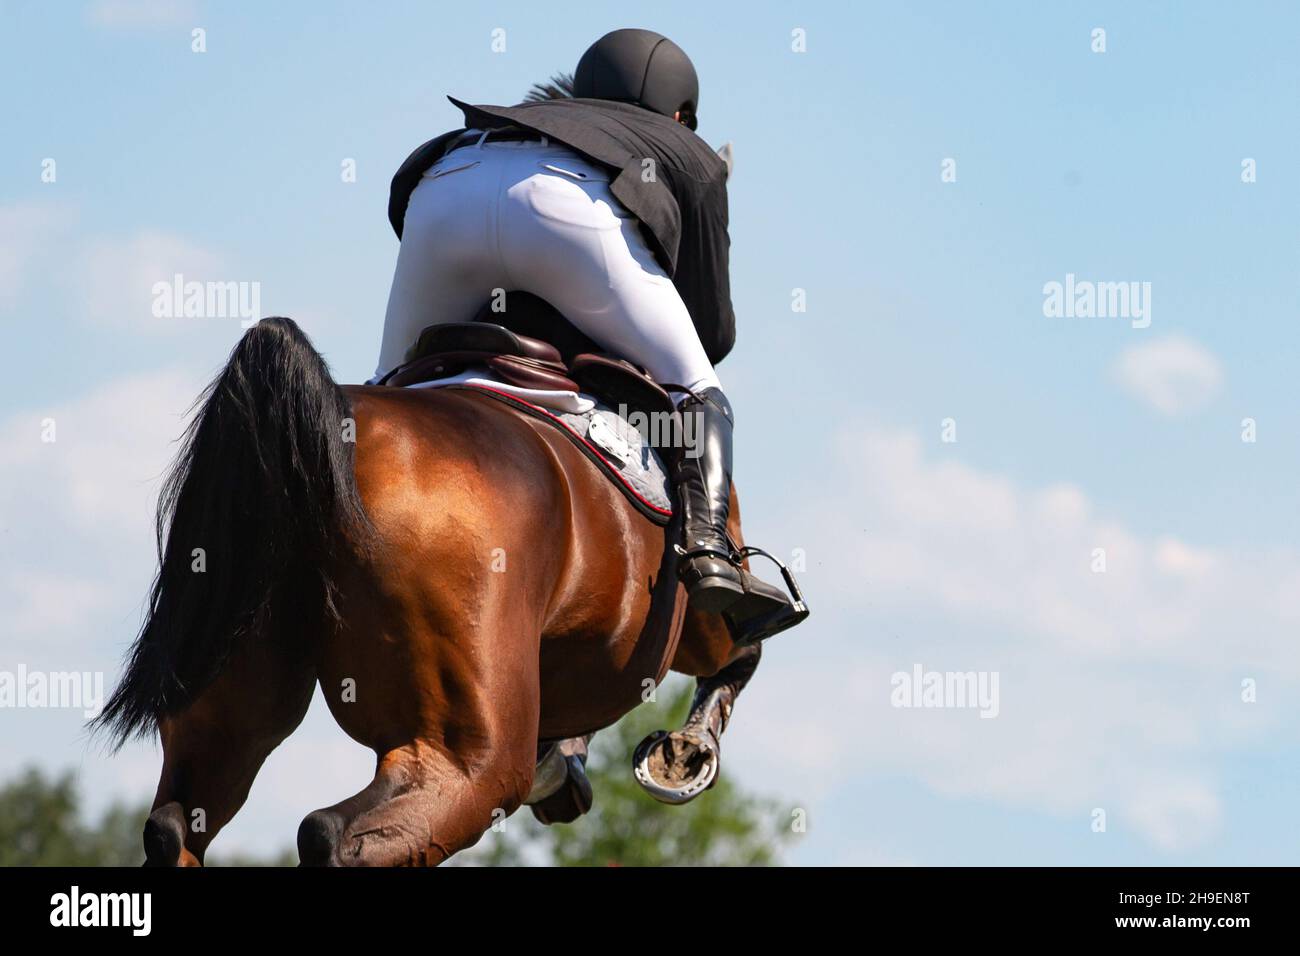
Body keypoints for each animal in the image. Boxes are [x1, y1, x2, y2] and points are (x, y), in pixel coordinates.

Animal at [93, 316, 768, 866]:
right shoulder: (695, 623)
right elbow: (741, 646)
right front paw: (685, 751)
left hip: (229, 705)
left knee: (177, 826)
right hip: (469, 757)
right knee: (335, 834)